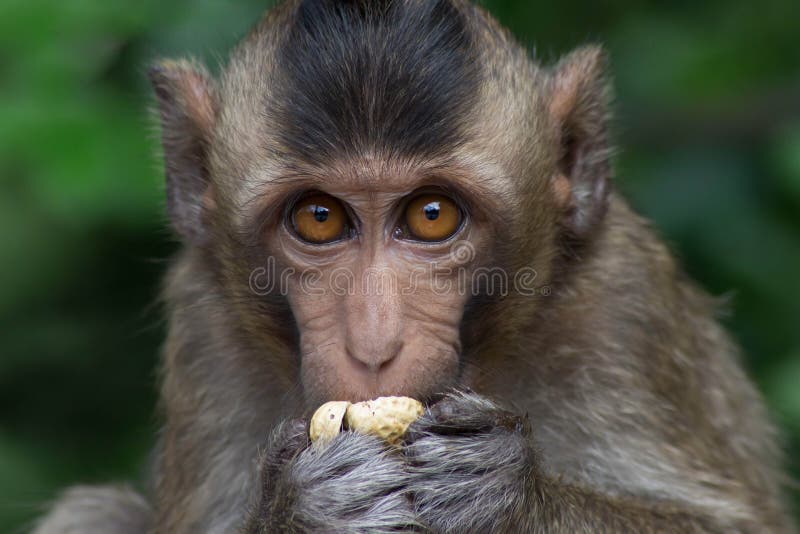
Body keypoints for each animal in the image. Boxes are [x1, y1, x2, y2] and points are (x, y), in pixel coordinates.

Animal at [34, 0, 795, 532]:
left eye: (433, 215)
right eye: (319, 217)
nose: (373, 347)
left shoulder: (625, 306)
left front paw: (503, 492)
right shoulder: (204, 323)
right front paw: (301, 506)